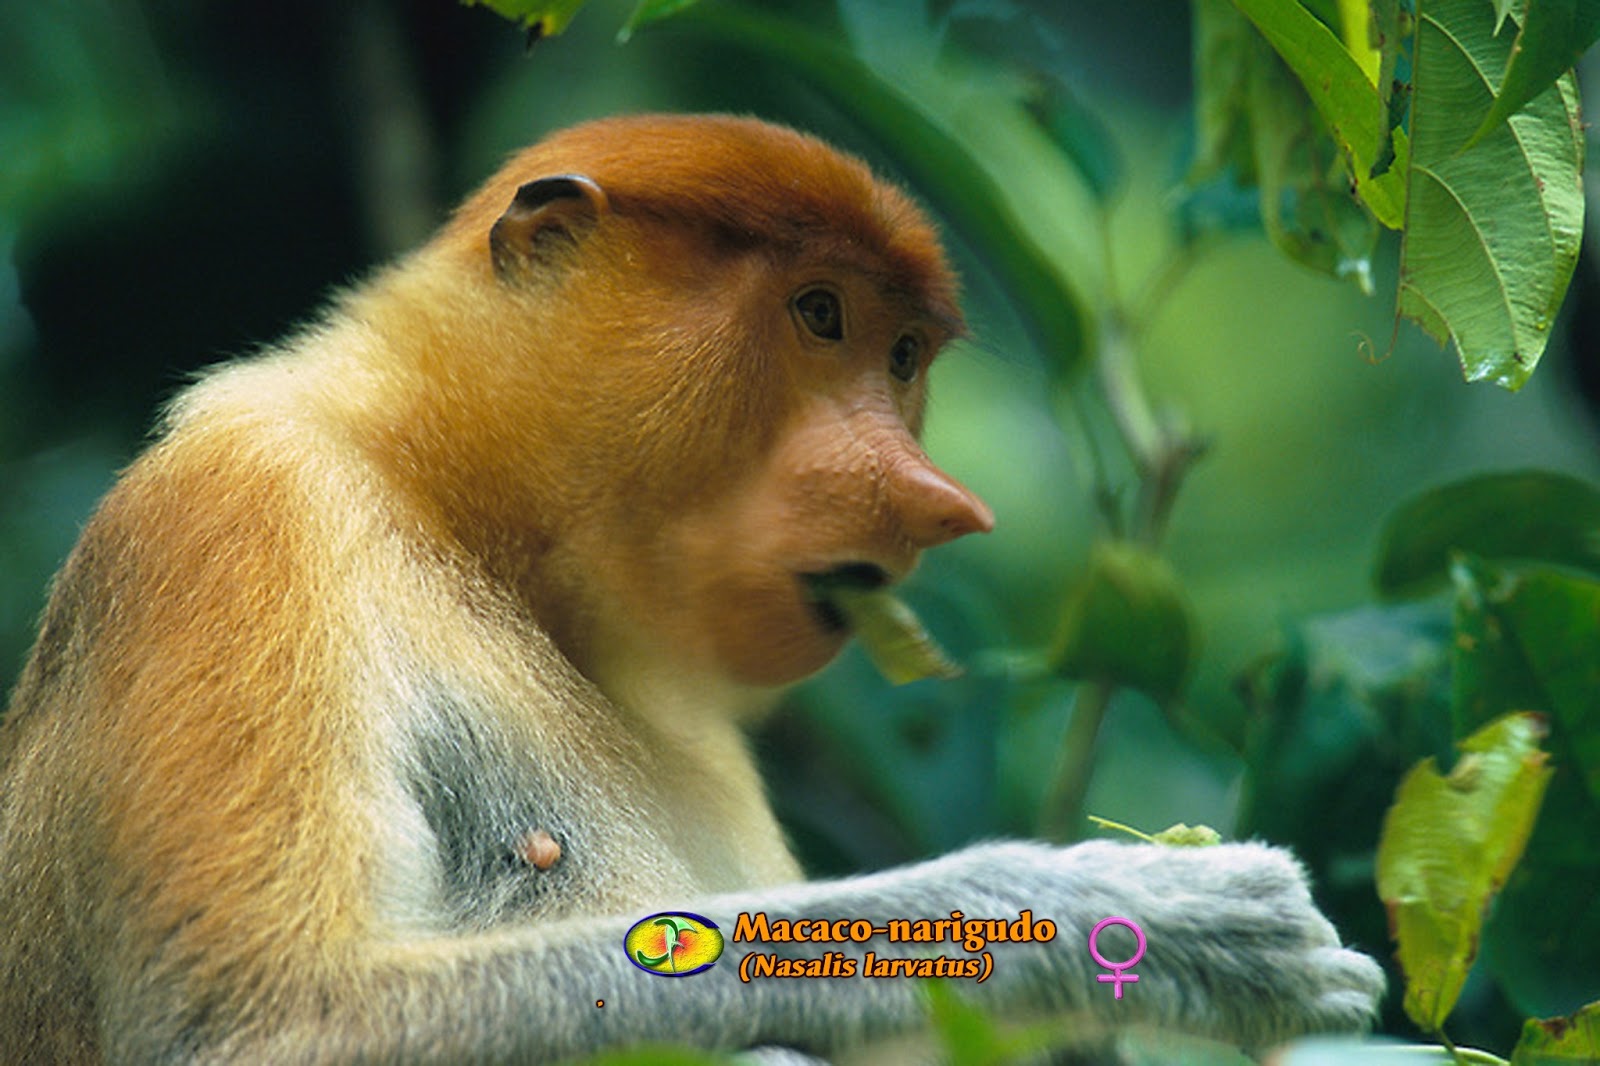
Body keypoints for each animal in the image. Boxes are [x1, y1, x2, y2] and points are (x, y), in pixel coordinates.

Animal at [0, 113, 1384, 1064]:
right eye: (818, 313)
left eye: (902, 354)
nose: (936, 501)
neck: (456, 508)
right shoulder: (244, 513)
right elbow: (272, 1019)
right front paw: (1145, 921)